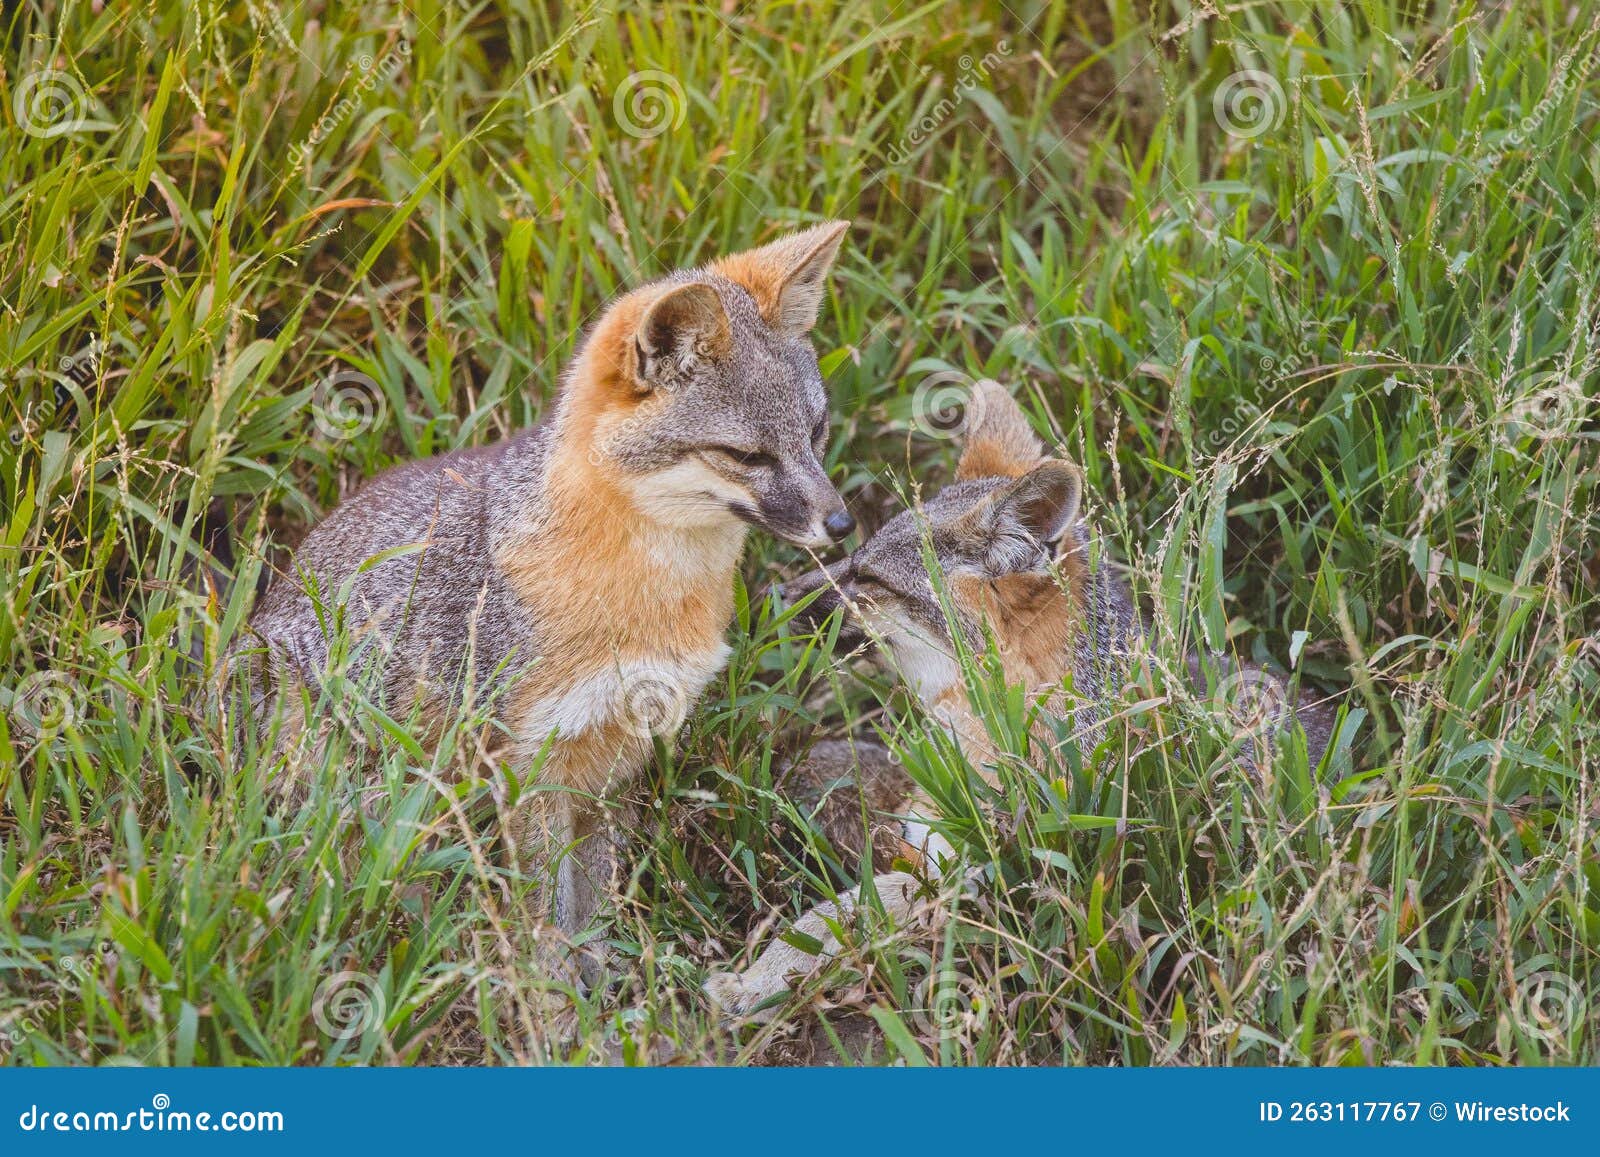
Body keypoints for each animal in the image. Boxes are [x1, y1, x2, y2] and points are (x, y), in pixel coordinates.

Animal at [229, 220, 856, 941]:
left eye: (816, 431)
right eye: (746, 456)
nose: (843, 523)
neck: (653, 596)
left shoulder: (617, 759)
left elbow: (596, 914)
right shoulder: (533, 765)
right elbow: (545, 920)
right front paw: (549, 973)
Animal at [704, 379, 1337, 1019]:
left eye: (870, 580)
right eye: (851, 557)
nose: (770, 595)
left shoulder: (976, 869)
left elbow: (847, 910)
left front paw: (758, 978)